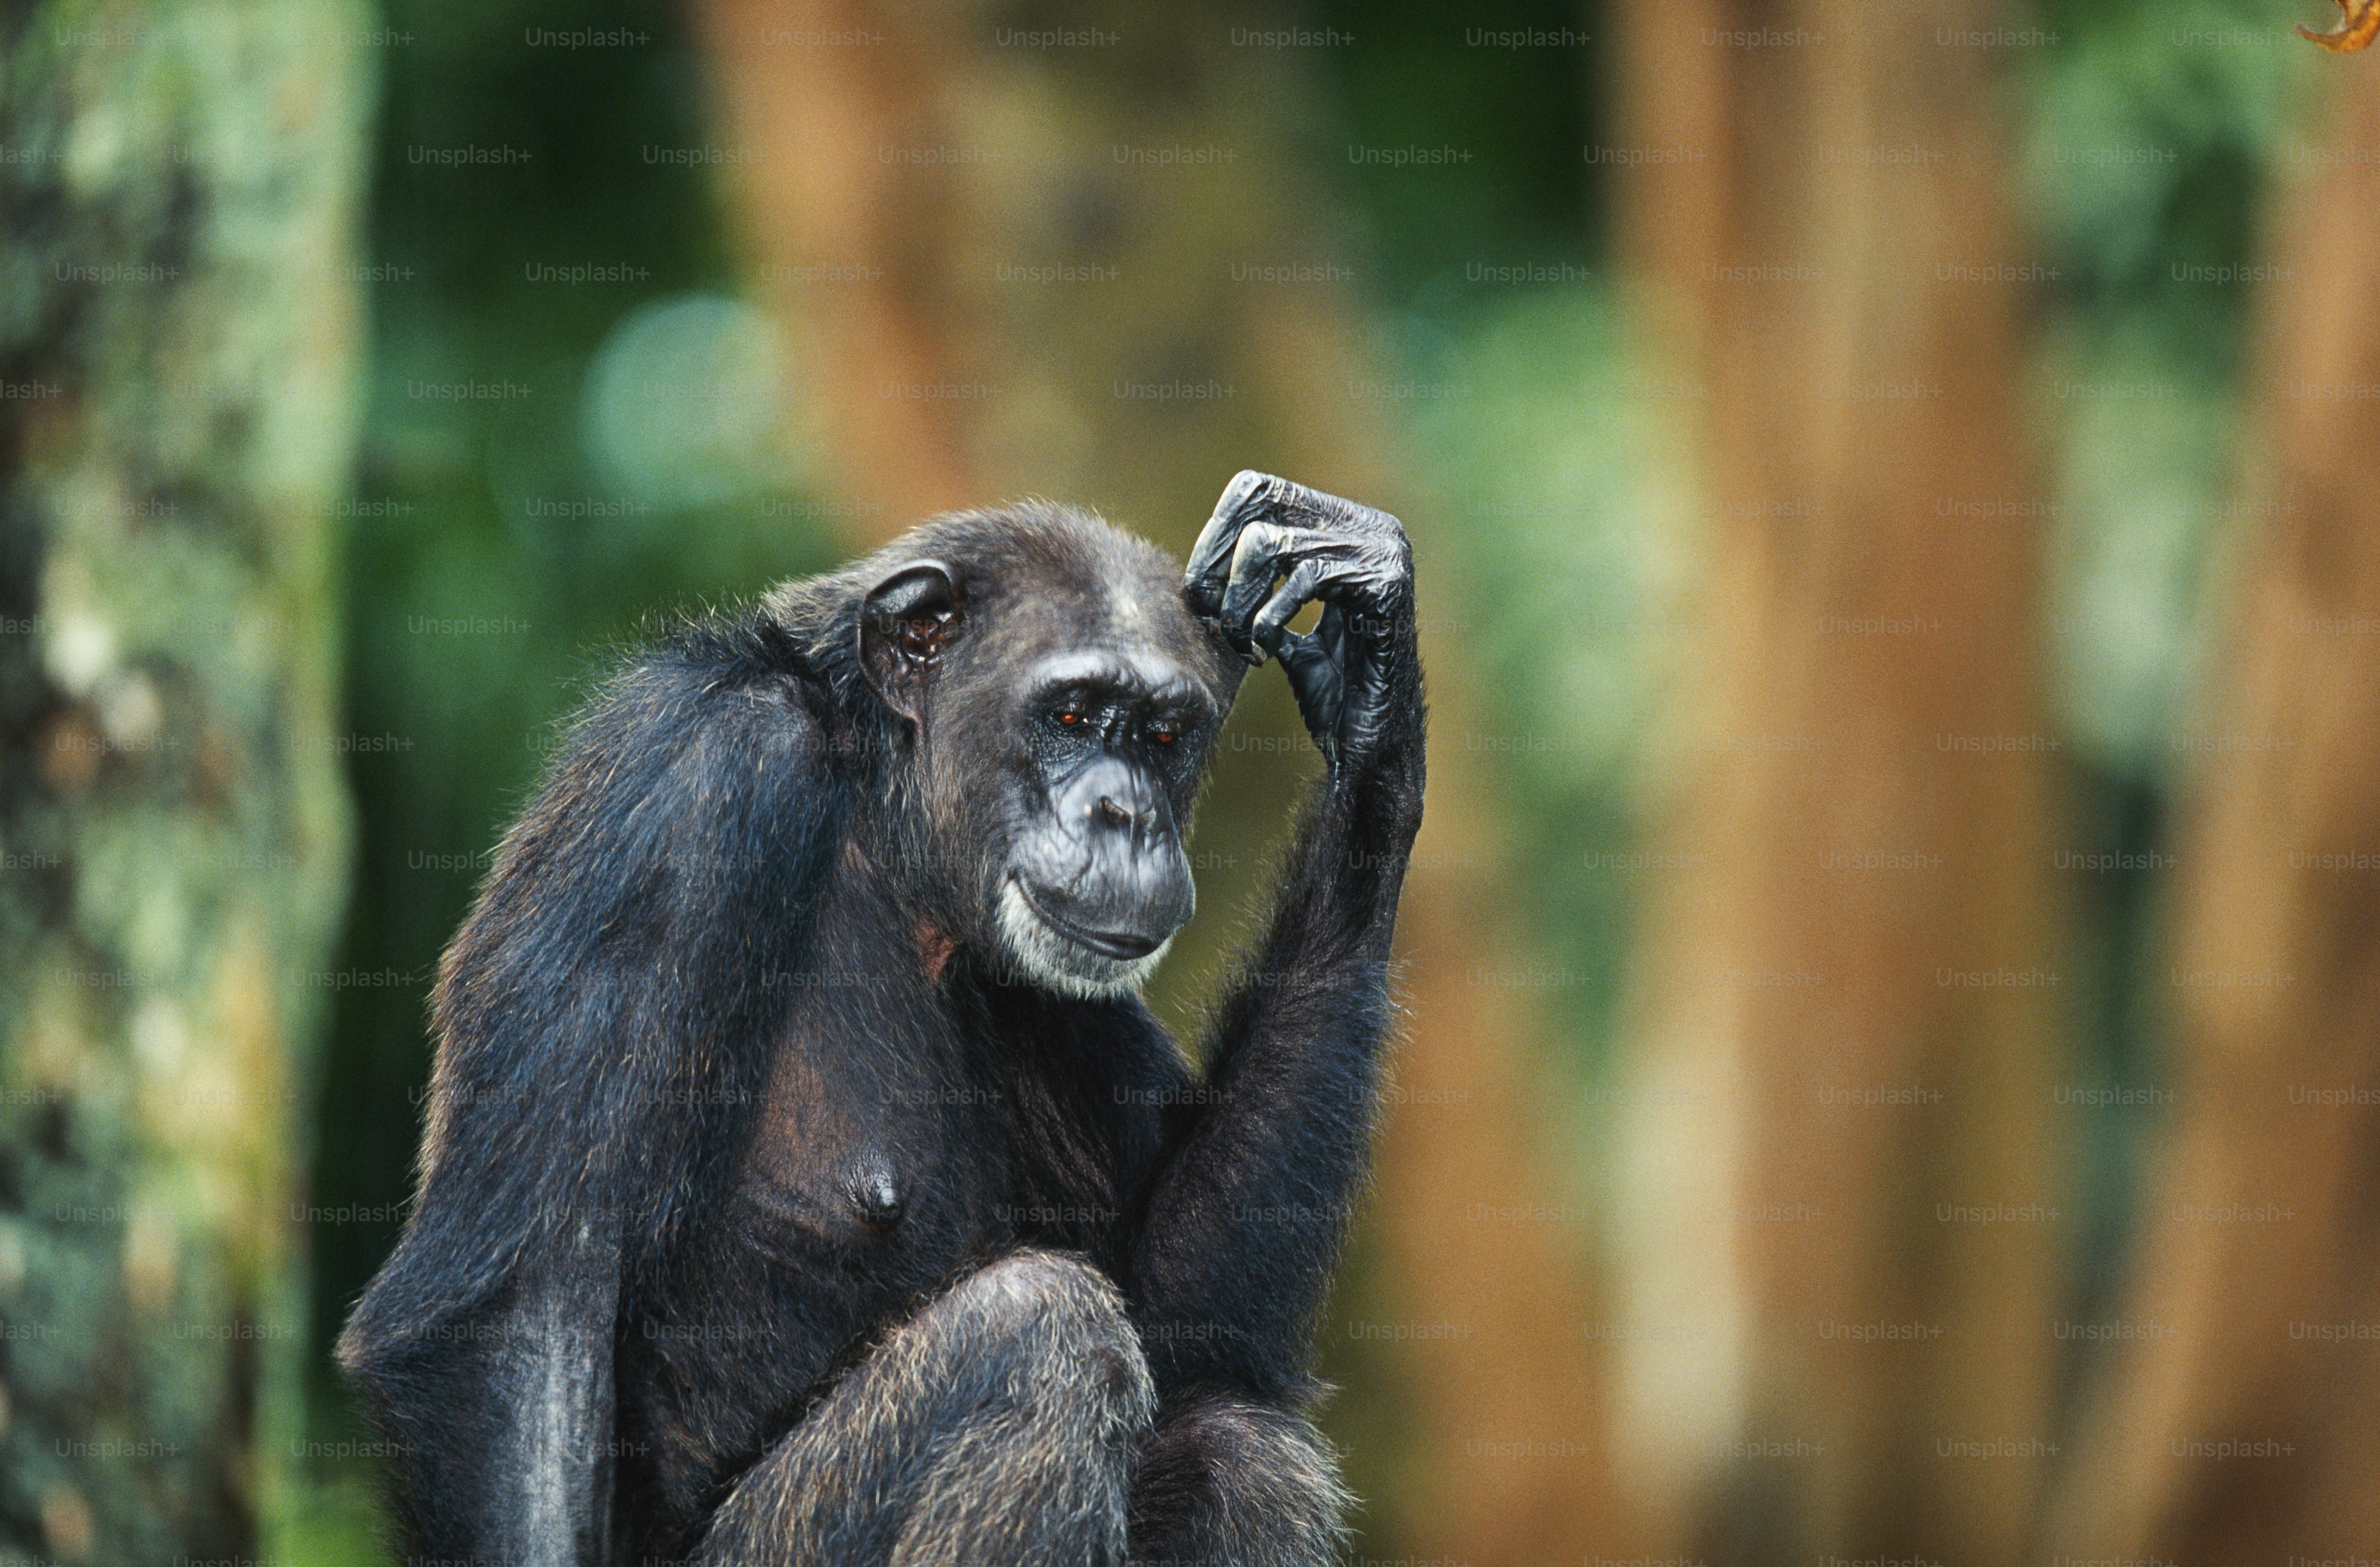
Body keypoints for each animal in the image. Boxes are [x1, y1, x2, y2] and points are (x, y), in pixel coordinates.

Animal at [336, 472, 1426, 1566]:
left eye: (1164, 735)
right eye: (1073, 713)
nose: (1125, 813)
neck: (882, 817)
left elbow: (1187, 1309)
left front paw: (1369, 656)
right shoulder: (682, 788)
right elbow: (524, 1311)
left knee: (1234, 1446)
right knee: (1043, 1334)